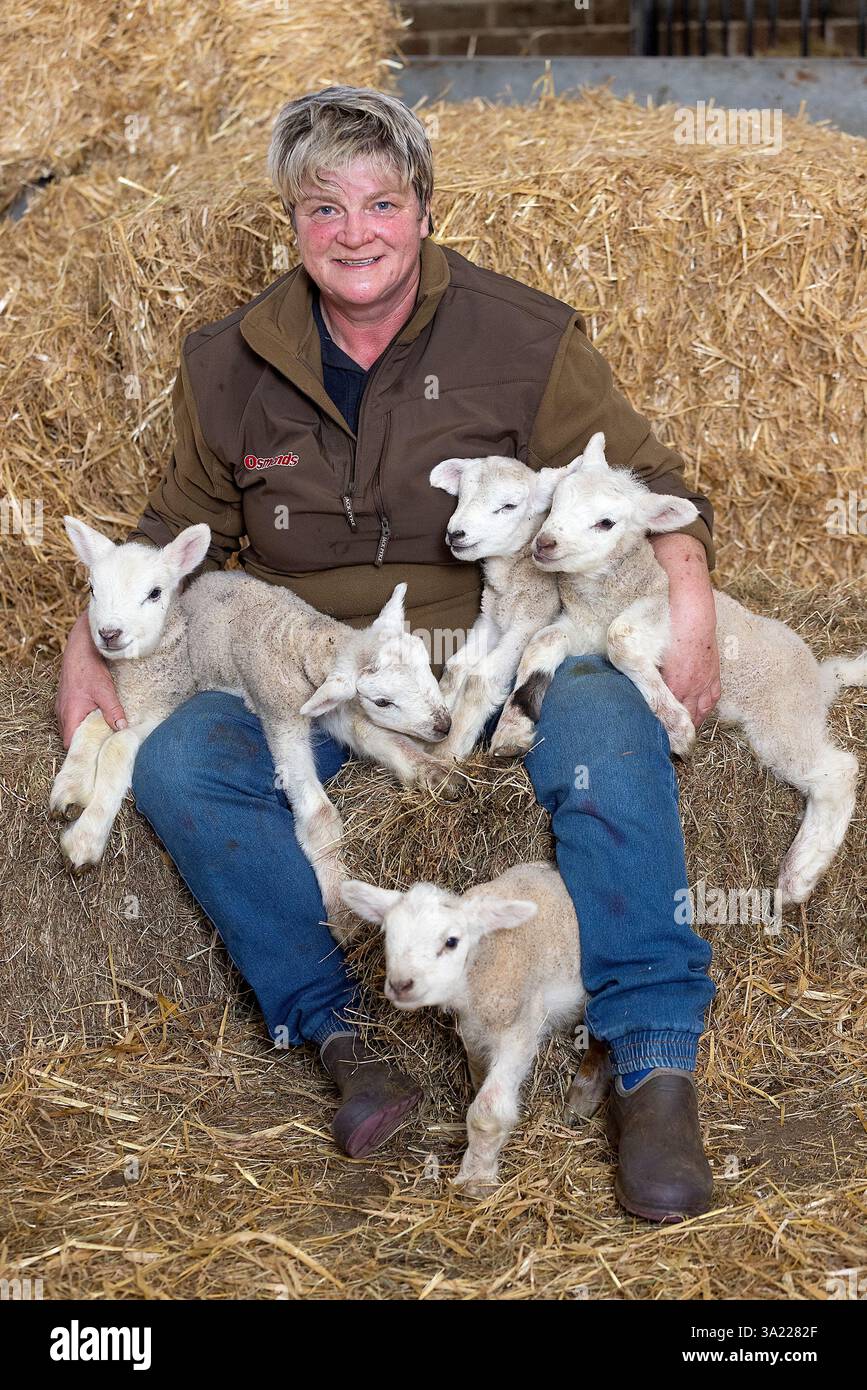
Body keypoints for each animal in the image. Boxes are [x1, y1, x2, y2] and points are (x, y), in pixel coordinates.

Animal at [49, 518, 212, 873]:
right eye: (92, 590)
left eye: (155, 593)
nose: (109, 633)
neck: (138, 683)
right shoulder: (117, 703)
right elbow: (91, 724)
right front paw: (72, 787)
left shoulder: (164, 711)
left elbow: (117, 745)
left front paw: (85, 837)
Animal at [180, 571, 455, 919]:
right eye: (382, 701)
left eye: (426, 661)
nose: (444, 726)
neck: (300, 638)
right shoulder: (281, 715)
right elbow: (319, 813)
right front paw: (344, 906)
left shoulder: (336, 706)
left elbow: (380, 737)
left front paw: (435, 773)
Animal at [340, 863, 611, 1196]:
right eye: (388, 935)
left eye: (451, 941)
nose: (401, 984)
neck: (481, 962)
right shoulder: (473, 1026)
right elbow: (477, 1071)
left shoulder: (520, 1027)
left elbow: (488, 1111)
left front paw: (475, 1178)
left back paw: (584, 1094)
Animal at [427, 455, 564, 760]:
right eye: (461, 496)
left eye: (509, 506)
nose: (455, 534)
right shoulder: (490, 618)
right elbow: (456, 667)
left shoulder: (529, 621)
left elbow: (480, 678)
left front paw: (448, 749)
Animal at [491, 432, 866, 905]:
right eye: (556, 501)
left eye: (606, 523)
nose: (544, 544)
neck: (607, 597)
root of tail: (820, 678)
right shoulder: (580, 630)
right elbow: (542, 641)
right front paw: (512, 725)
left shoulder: (661, 624)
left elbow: (622, 640)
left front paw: (676, 726)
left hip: (782, 717)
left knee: (837, 773)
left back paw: (800, 872)